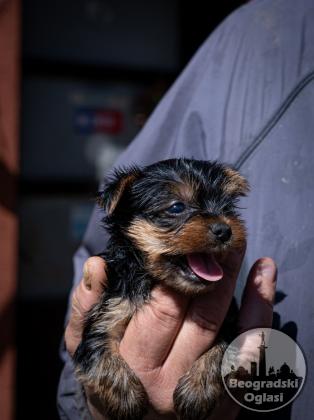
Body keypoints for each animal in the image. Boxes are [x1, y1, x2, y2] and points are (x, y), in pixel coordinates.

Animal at [73, 158, 248, 420]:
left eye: (227, 207)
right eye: (176, 207)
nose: (225, 230)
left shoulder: (228, 320)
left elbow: (223, 349)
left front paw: (197, 391)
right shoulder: (108, 313)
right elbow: (98, 348)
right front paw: (128, 399)